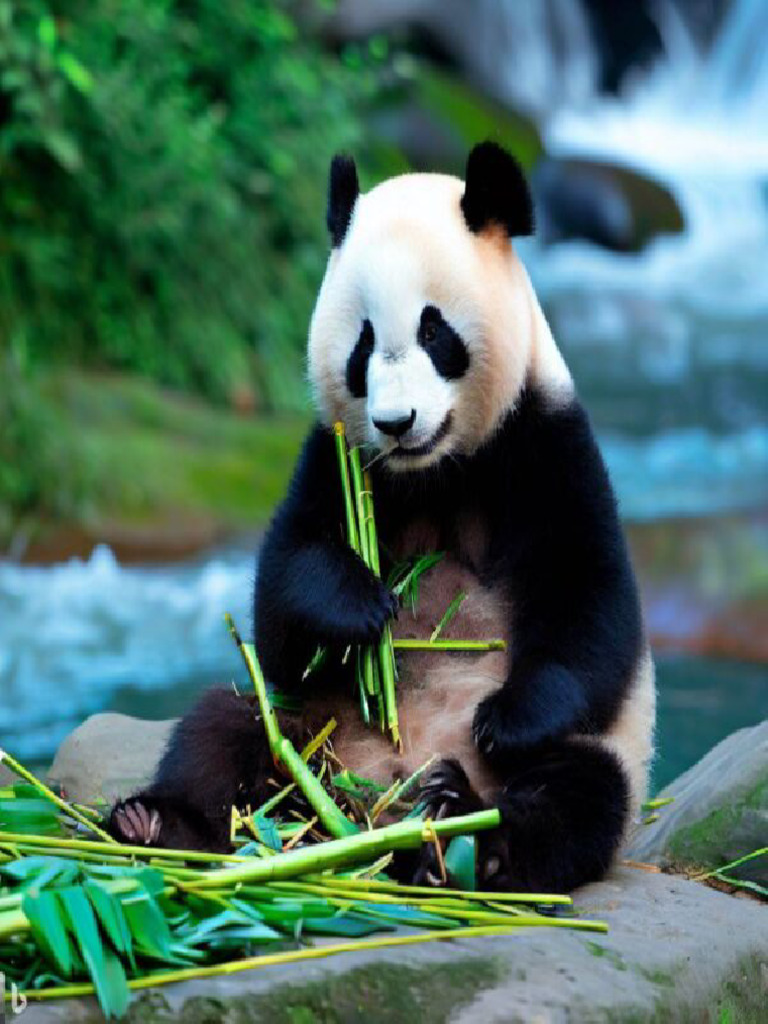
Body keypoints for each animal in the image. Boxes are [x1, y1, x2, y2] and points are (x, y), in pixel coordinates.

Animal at [109, 142, 656, 893]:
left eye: (435, 331)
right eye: (363, 345)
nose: (398, 422)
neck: (438, 469)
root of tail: (372, 808)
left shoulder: (544, 440)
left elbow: (592, 598)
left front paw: (508, 718)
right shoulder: (338, 455)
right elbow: (284, 598)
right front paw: (361, 608)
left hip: (591, 760)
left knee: (577, 793)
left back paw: (467, 828)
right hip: (308, 728)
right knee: (222, 729)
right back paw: (157, 824)